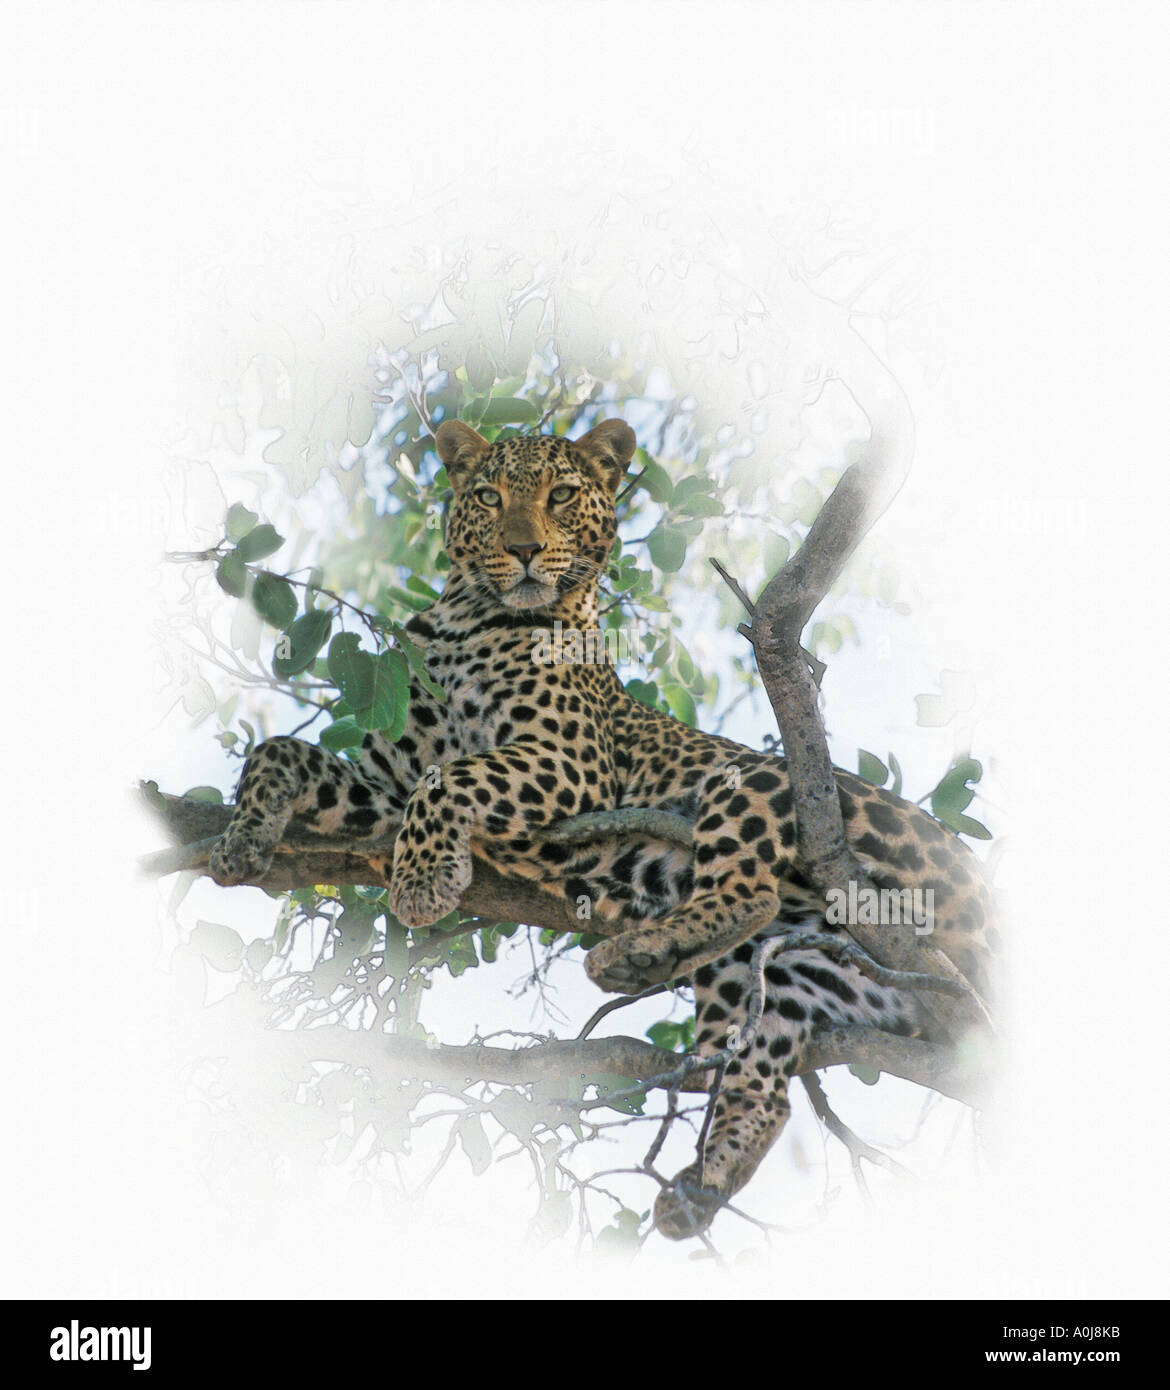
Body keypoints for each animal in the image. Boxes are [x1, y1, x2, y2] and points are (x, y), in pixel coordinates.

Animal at [209, 416, 997, 1239]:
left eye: (560, 495)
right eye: (488, 497)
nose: (524, 548)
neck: (466, 622)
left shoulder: (569, 761)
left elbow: (448, 779)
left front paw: (424, 883)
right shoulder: (383, 789)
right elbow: (283, 750)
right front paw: (244, 838)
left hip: (765, 776)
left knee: (745, 889)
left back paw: (632, 956)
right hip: (796, 971)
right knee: (763, 1065)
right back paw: (697, 1170)